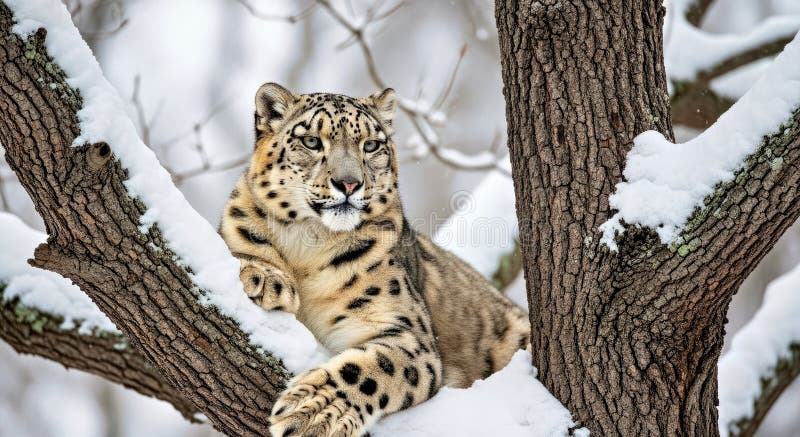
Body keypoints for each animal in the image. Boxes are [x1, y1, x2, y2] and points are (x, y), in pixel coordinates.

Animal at [219, 82, 531, 437]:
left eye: (370, 145)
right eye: (311, 141)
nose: (349, 183)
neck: (307, 242)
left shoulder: (405, 329)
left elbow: (372, 369)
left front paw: (315, 411)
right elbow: (244, 249)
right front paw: (266, 278)